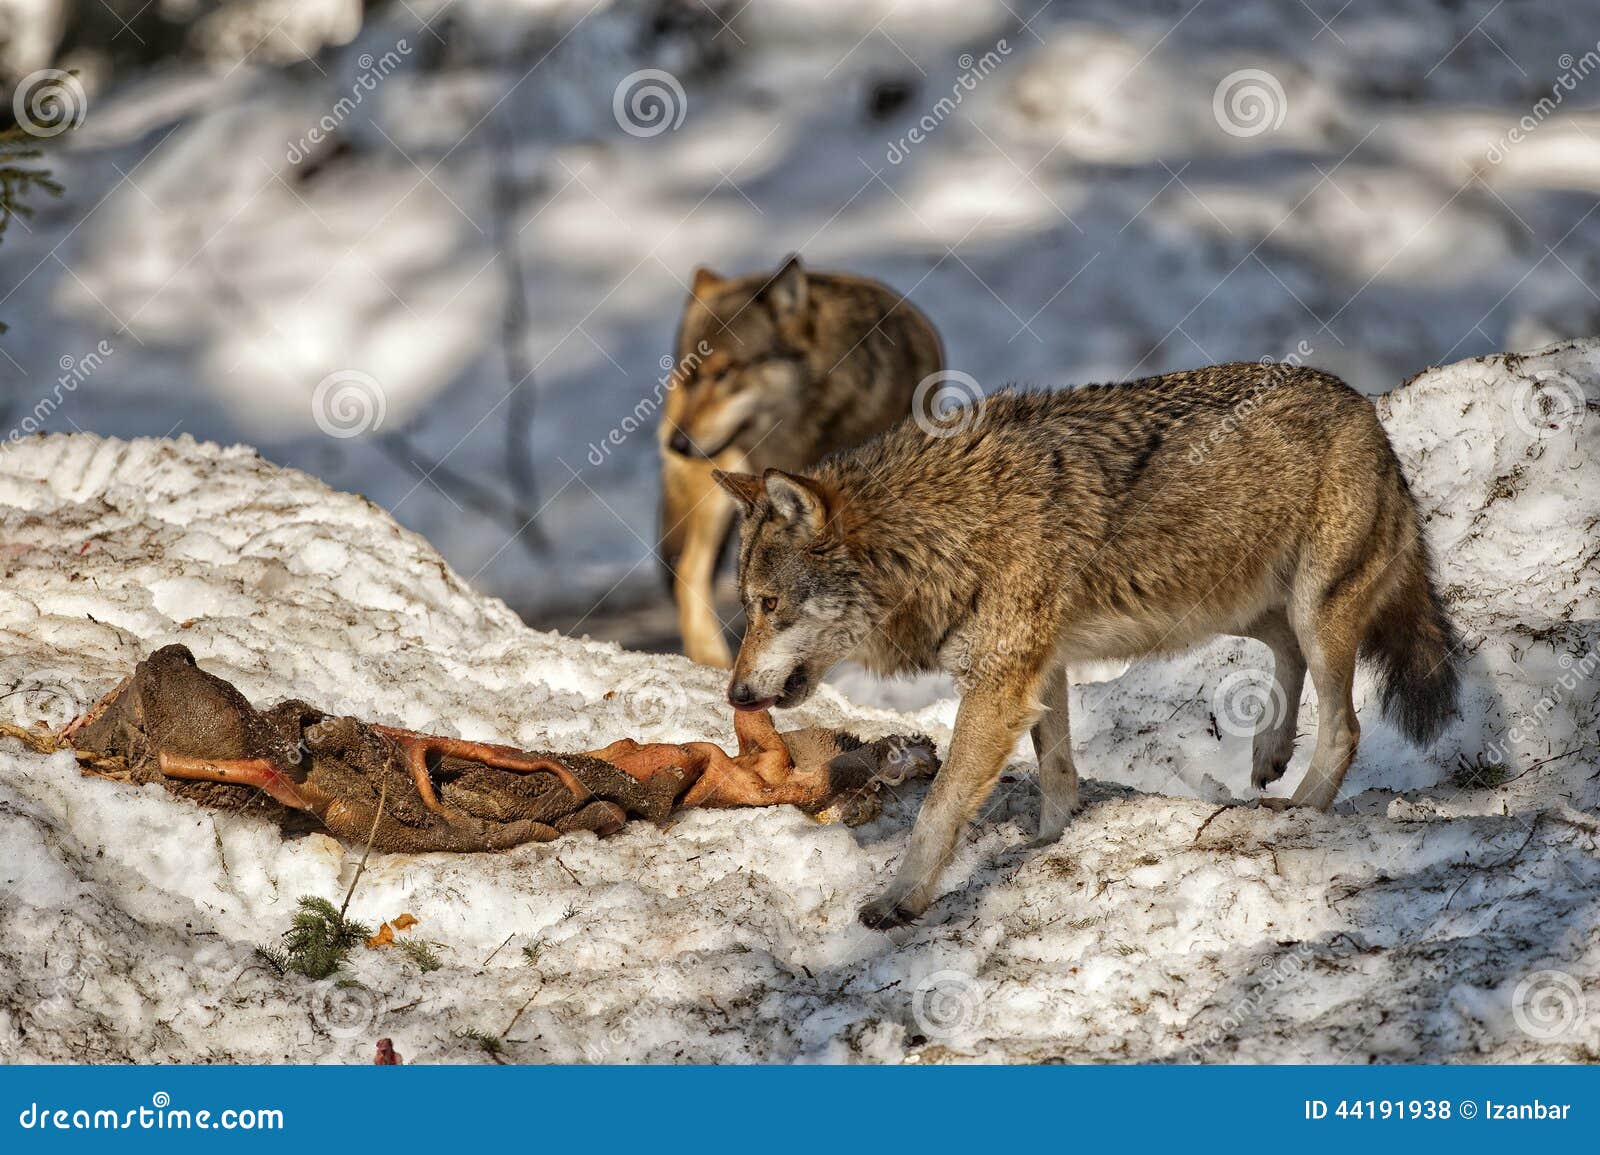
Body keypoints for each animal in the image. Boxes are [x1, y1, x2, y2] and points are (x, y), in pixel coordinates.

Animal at [712, 363, 1460, 928]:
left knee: (1345, 727)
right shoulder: (1039, 674)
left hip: (1309, 608)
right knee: (1288, 655)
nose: (736, 694)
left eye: (768, 605)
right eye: (748, 606)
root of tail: (1364, 407)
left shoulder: (998, 687)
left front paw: (899, 900)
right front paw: (1048, 846)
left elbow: (937, 809)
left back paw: (1298, 808)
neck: (935, 536)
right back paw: (1269, 751)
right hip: (1228, 604)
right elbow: (1059, 774)